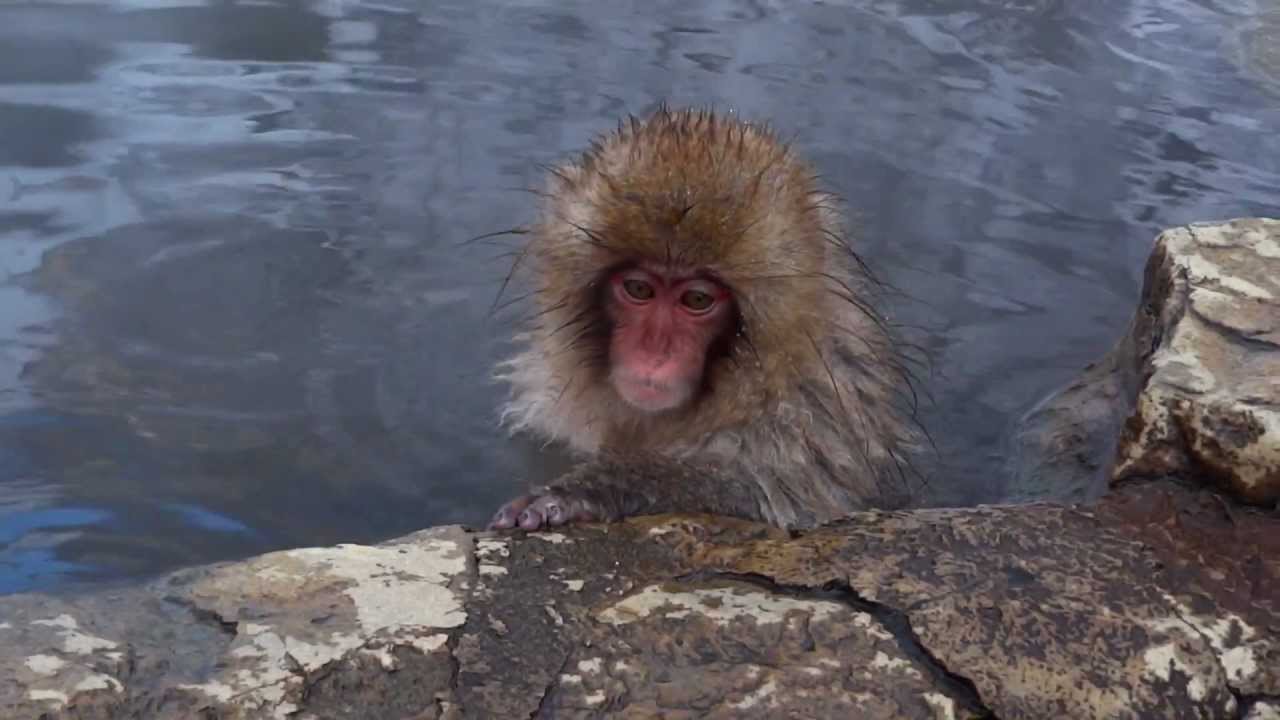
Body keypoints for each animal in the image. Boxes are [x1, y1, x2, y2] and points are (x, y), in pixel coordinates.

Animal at [487, 107, 924, 532]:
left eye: (697, 299)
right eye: (639, 289)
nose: (655, 351)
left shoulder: (810, 419)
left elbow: (775, 499)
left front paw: (593, 489)